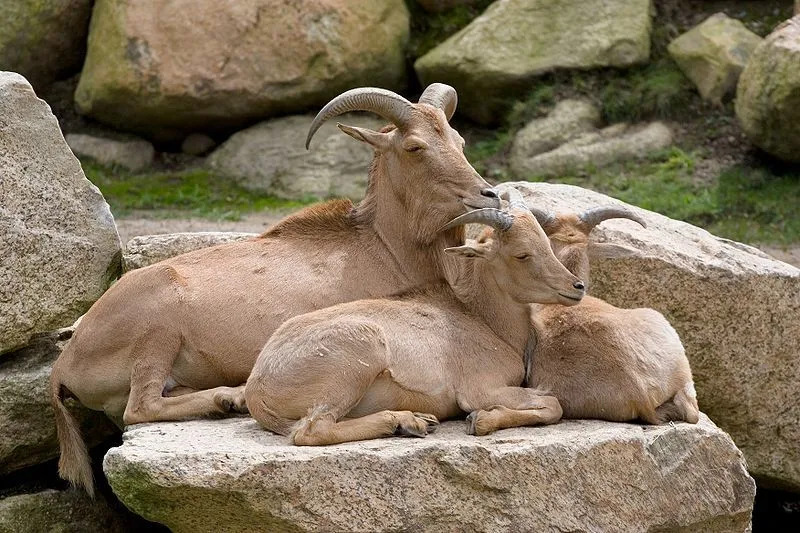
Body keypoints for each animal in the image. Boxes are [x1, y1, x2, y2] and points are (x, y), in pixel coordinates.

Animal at [48, 83, 500, 494]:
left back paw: (230, 396)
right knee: (140, 406)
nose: (488, 194)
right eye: (414, 147)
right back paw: (227, 399)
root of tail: (64, 364)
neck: (384, 247)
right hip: (156, 330)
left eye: (458, 141)